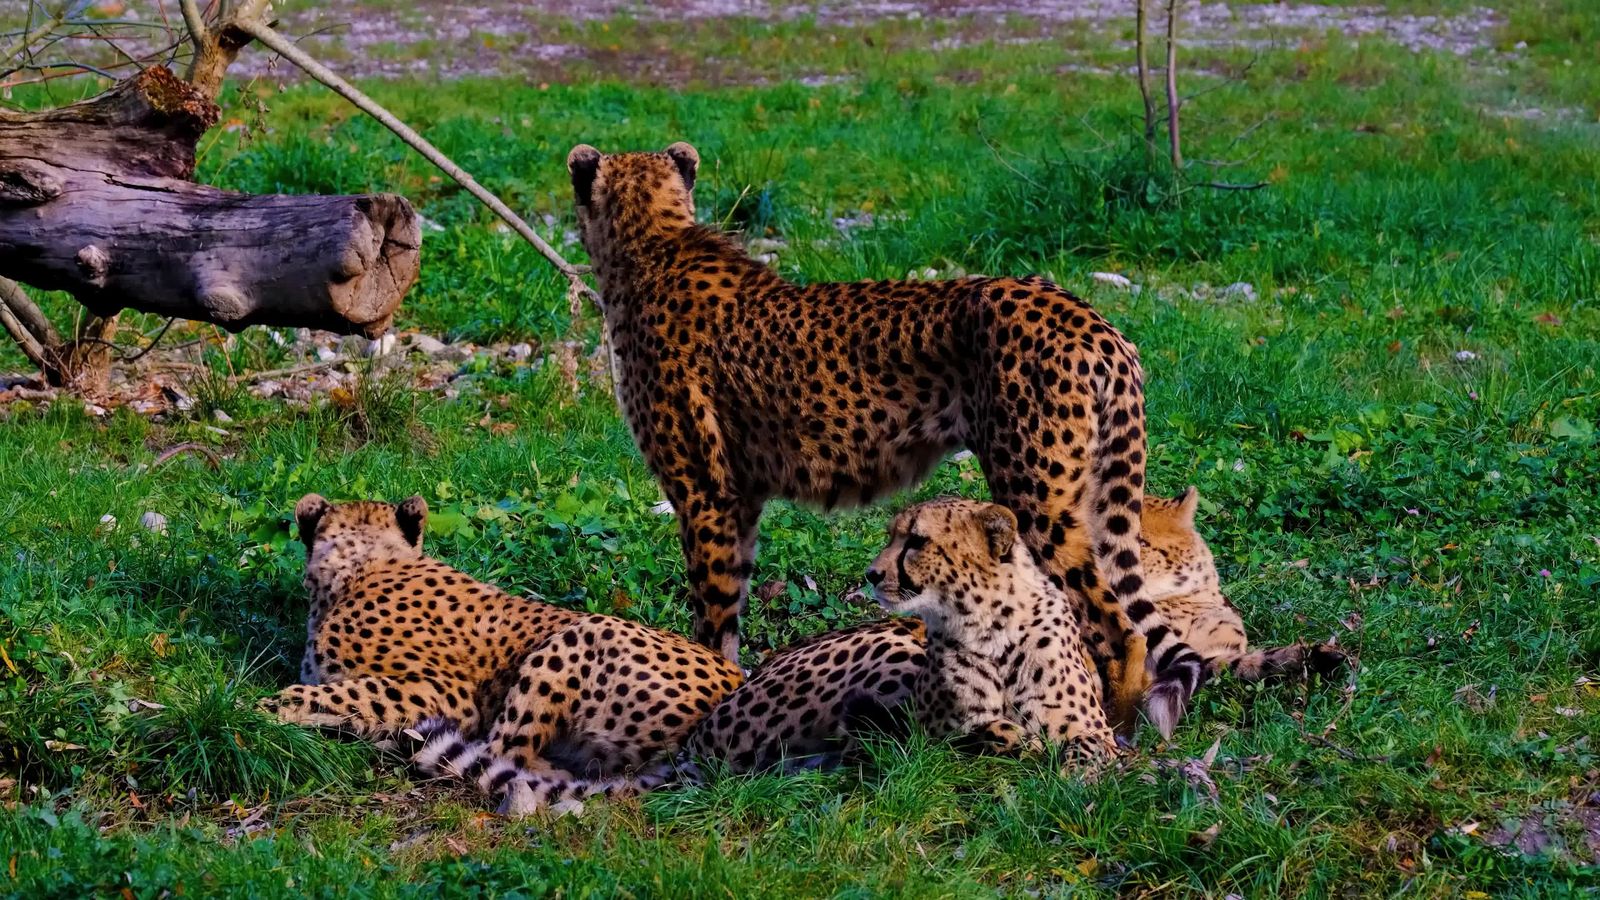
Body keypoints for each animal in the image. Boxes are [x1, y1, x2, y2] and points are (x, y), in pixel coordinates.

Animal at [264, 494, 744, 814]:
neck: (365, 563)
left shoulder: (449, 696)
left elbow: (331, 693)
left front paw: (263, 710)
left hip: (582, 633)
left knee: (502, 759)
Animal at [566, 140, 1207, 737]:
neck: (650, 241)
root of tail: (1088, 317)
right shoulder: (742, 498)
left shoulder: (705, 495)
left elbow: (714, 614)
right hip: (1089, 492)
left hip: (1036, 494)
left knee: (1119, 628)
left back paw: (1113, 729)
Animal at [865, 497, 1118, 767]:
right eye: (890, 536)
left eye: (916, 540)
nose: (871, 574)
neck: (992, 627)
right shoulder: (925, 727)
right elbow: (986, 729)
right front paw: (1029, 744)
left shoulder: (1098, 730)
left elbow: (1088, 745)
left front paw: (1074, 770)